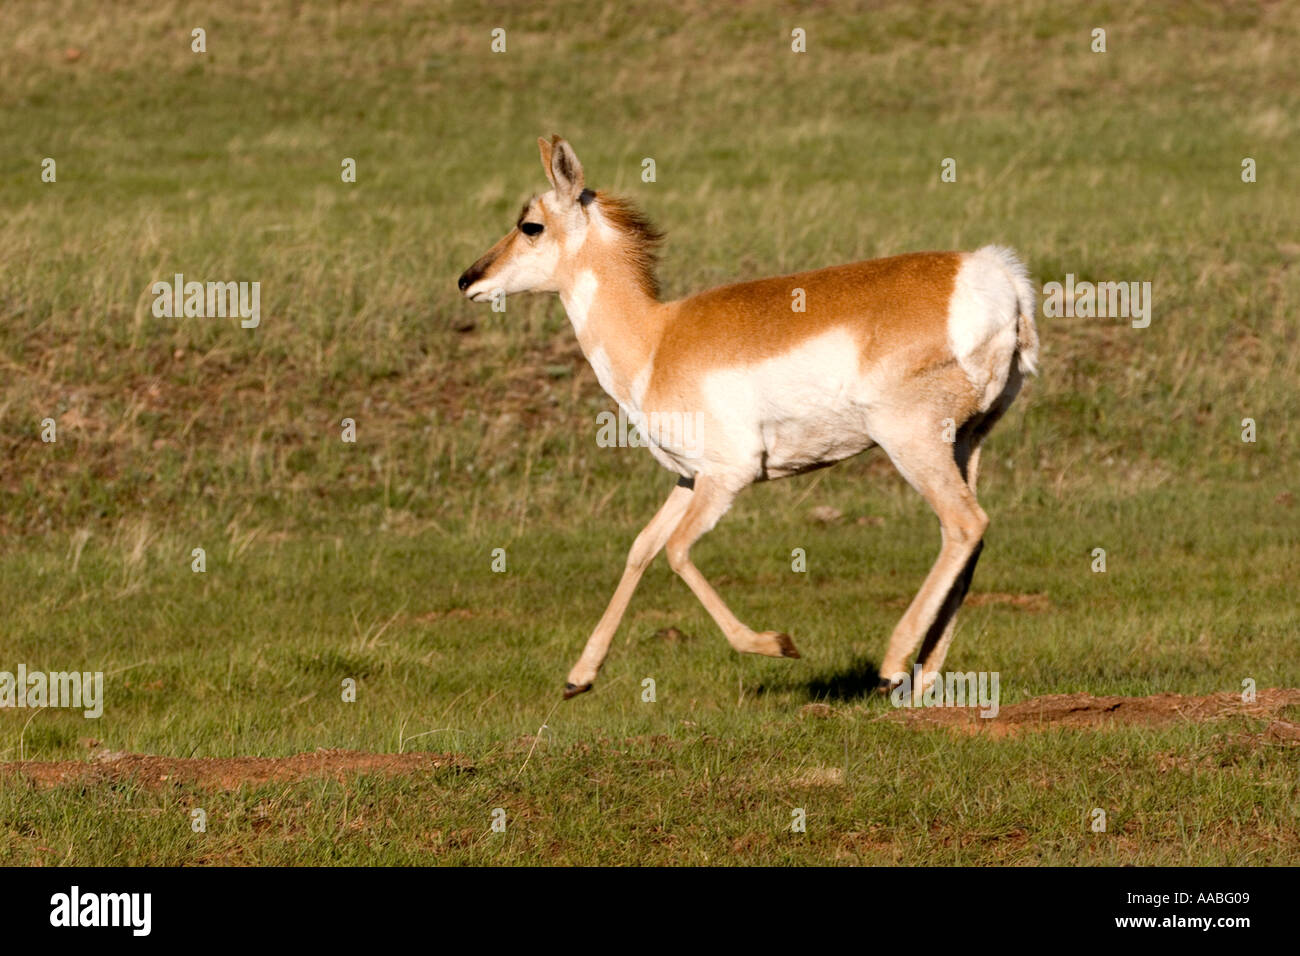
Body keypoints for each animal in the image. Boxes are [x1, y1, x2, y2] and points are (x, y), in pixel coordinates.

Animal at [458, 136, 1039, 701]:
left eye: (530, 224)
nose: (467, 279)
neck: (657, 338)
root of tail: (993, 273)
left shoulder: (727, 477)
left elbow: (676, 552)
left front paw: (778, 644)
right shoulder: (689, 478)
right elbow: (641, 548)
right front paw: (579, 677)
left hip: (912, 440)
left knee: (964, 525)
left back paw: (892, 668)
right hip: (965, 443)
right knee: (969, 536)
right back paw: (922, 679)